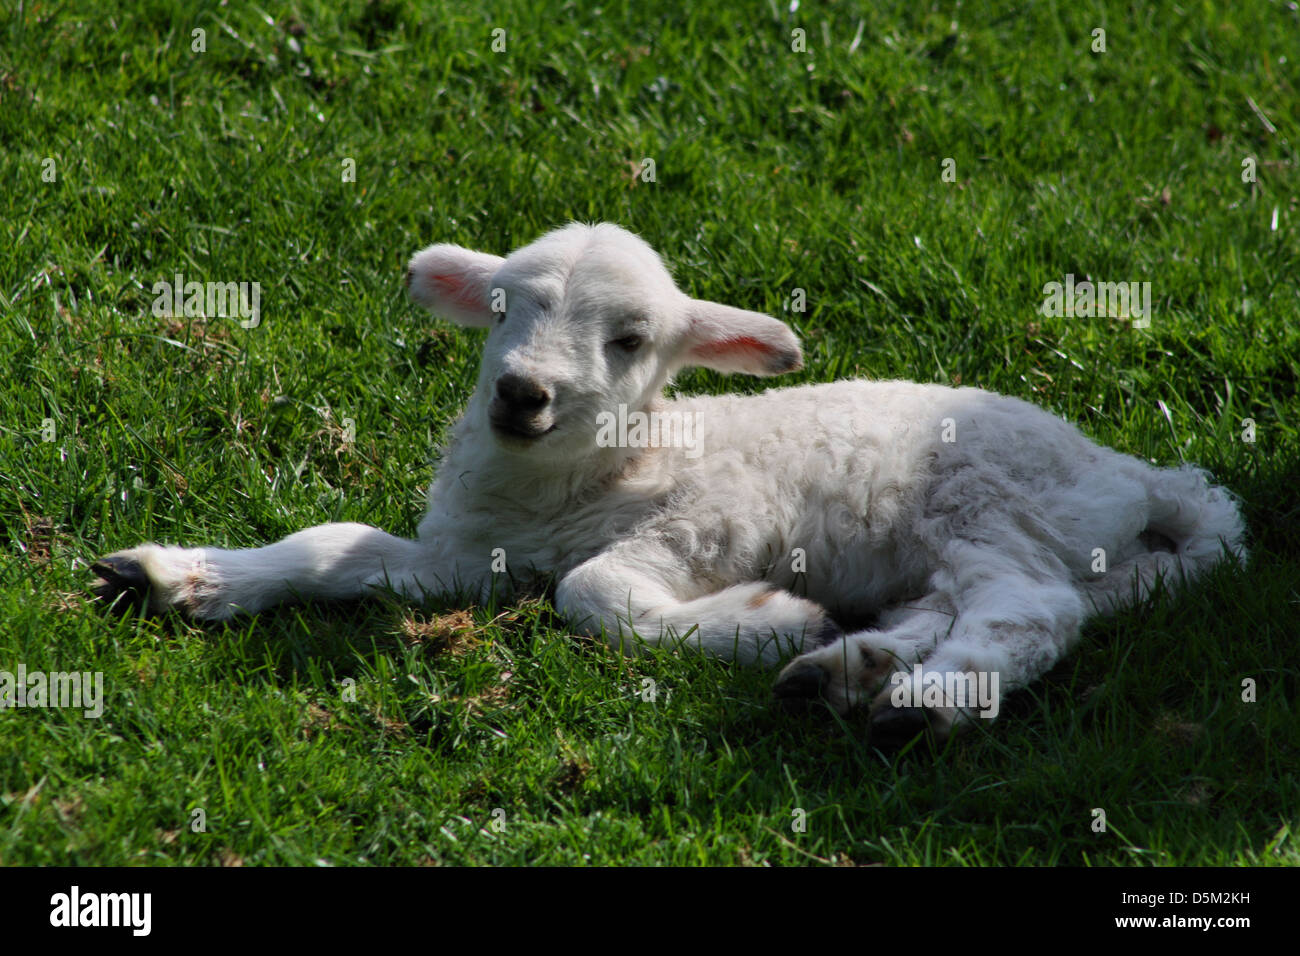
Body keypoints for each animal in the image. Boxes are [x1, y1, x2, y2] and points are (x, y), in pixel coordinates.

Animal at [93, 222, 1247, 745]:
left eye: (631, 339)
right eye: (503, 306)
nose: (521, 393)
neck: (574, 483)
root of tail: (1145, 476)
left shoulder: (709, 523)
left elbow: (592, 592)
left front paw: (764, 619)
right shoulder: (468, 557)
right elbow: (338, 546)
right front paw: (185, 577)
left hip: (992, 500)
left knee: (1026, 605)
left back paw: (918, 698)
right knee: (965, 604)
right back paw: (851, 668)